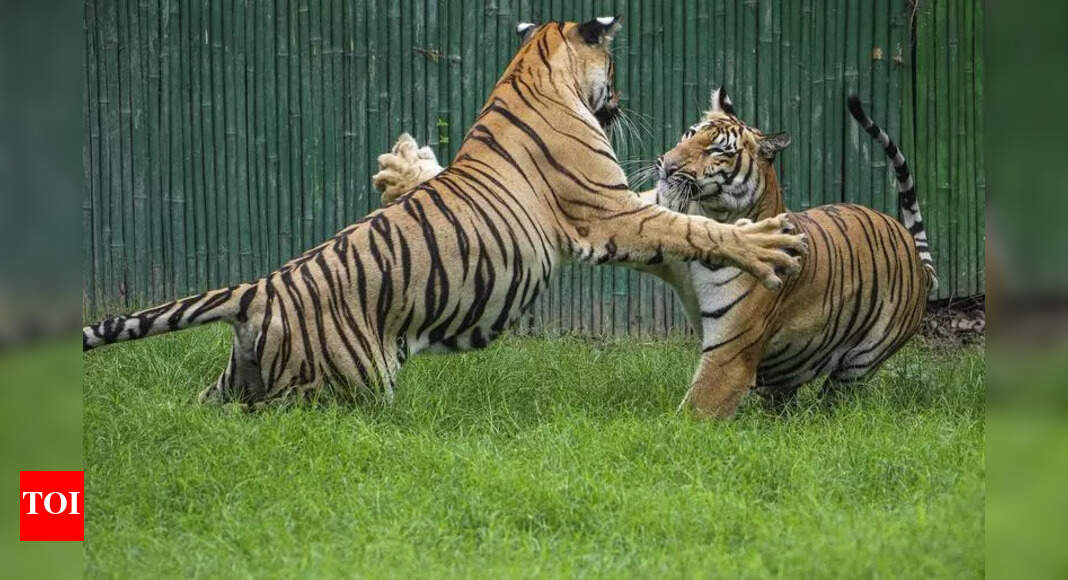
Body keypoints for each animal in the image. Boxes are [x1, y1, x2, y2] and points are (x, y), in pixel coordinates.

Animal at [82, 17, 806, 408]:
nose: (624, 103)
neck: (529, 70)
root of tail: (261, 286)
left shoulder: (623, 203)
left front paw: (400, 165)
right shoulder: (608, 212)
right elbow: (691, 225)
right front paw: (767, 245)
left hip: (239, 381)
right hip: (337, 388)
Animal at [374, 83, 935, 418]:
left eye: (718, 151)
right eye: (690, 132)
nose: (667, 164)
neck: (713, 215)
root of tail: (915, 252)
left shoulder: (731, 354)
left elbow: (695, 414)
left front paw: (668, 440)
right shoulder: (649, 225)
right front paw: (402, 171)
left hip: (860, 361)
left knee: (837, 394)